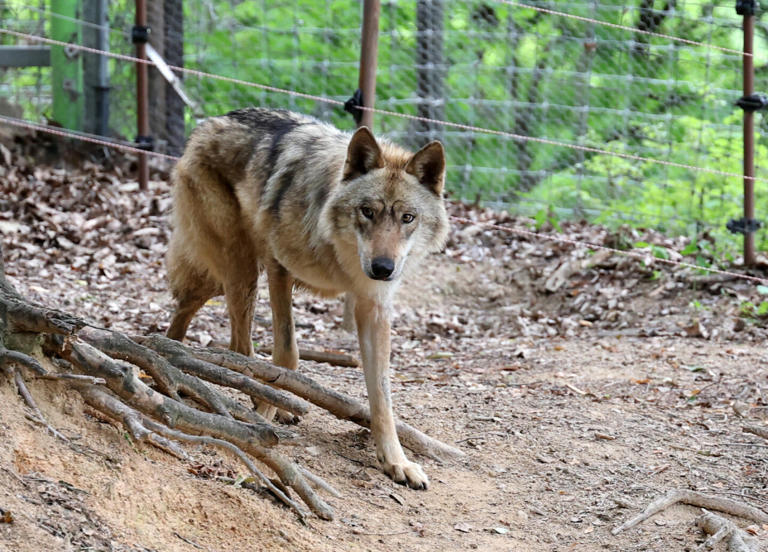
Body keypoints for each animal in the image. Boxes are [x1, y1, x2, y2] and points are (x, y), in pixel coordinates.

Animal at [166, 108, 449, 489]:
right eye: (368, 211)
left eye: (408, 218)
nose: (382, 268)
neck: (339, 255)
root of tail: (208, 123)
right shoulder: (278, 268)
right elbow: (287, 354)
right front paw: (264, 417)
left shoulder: (374, 306)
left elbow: (381, 394)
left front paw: (395, 460)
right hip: (241, 270)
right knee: (235, 342)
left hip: (226, 277)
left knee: (193, 316)